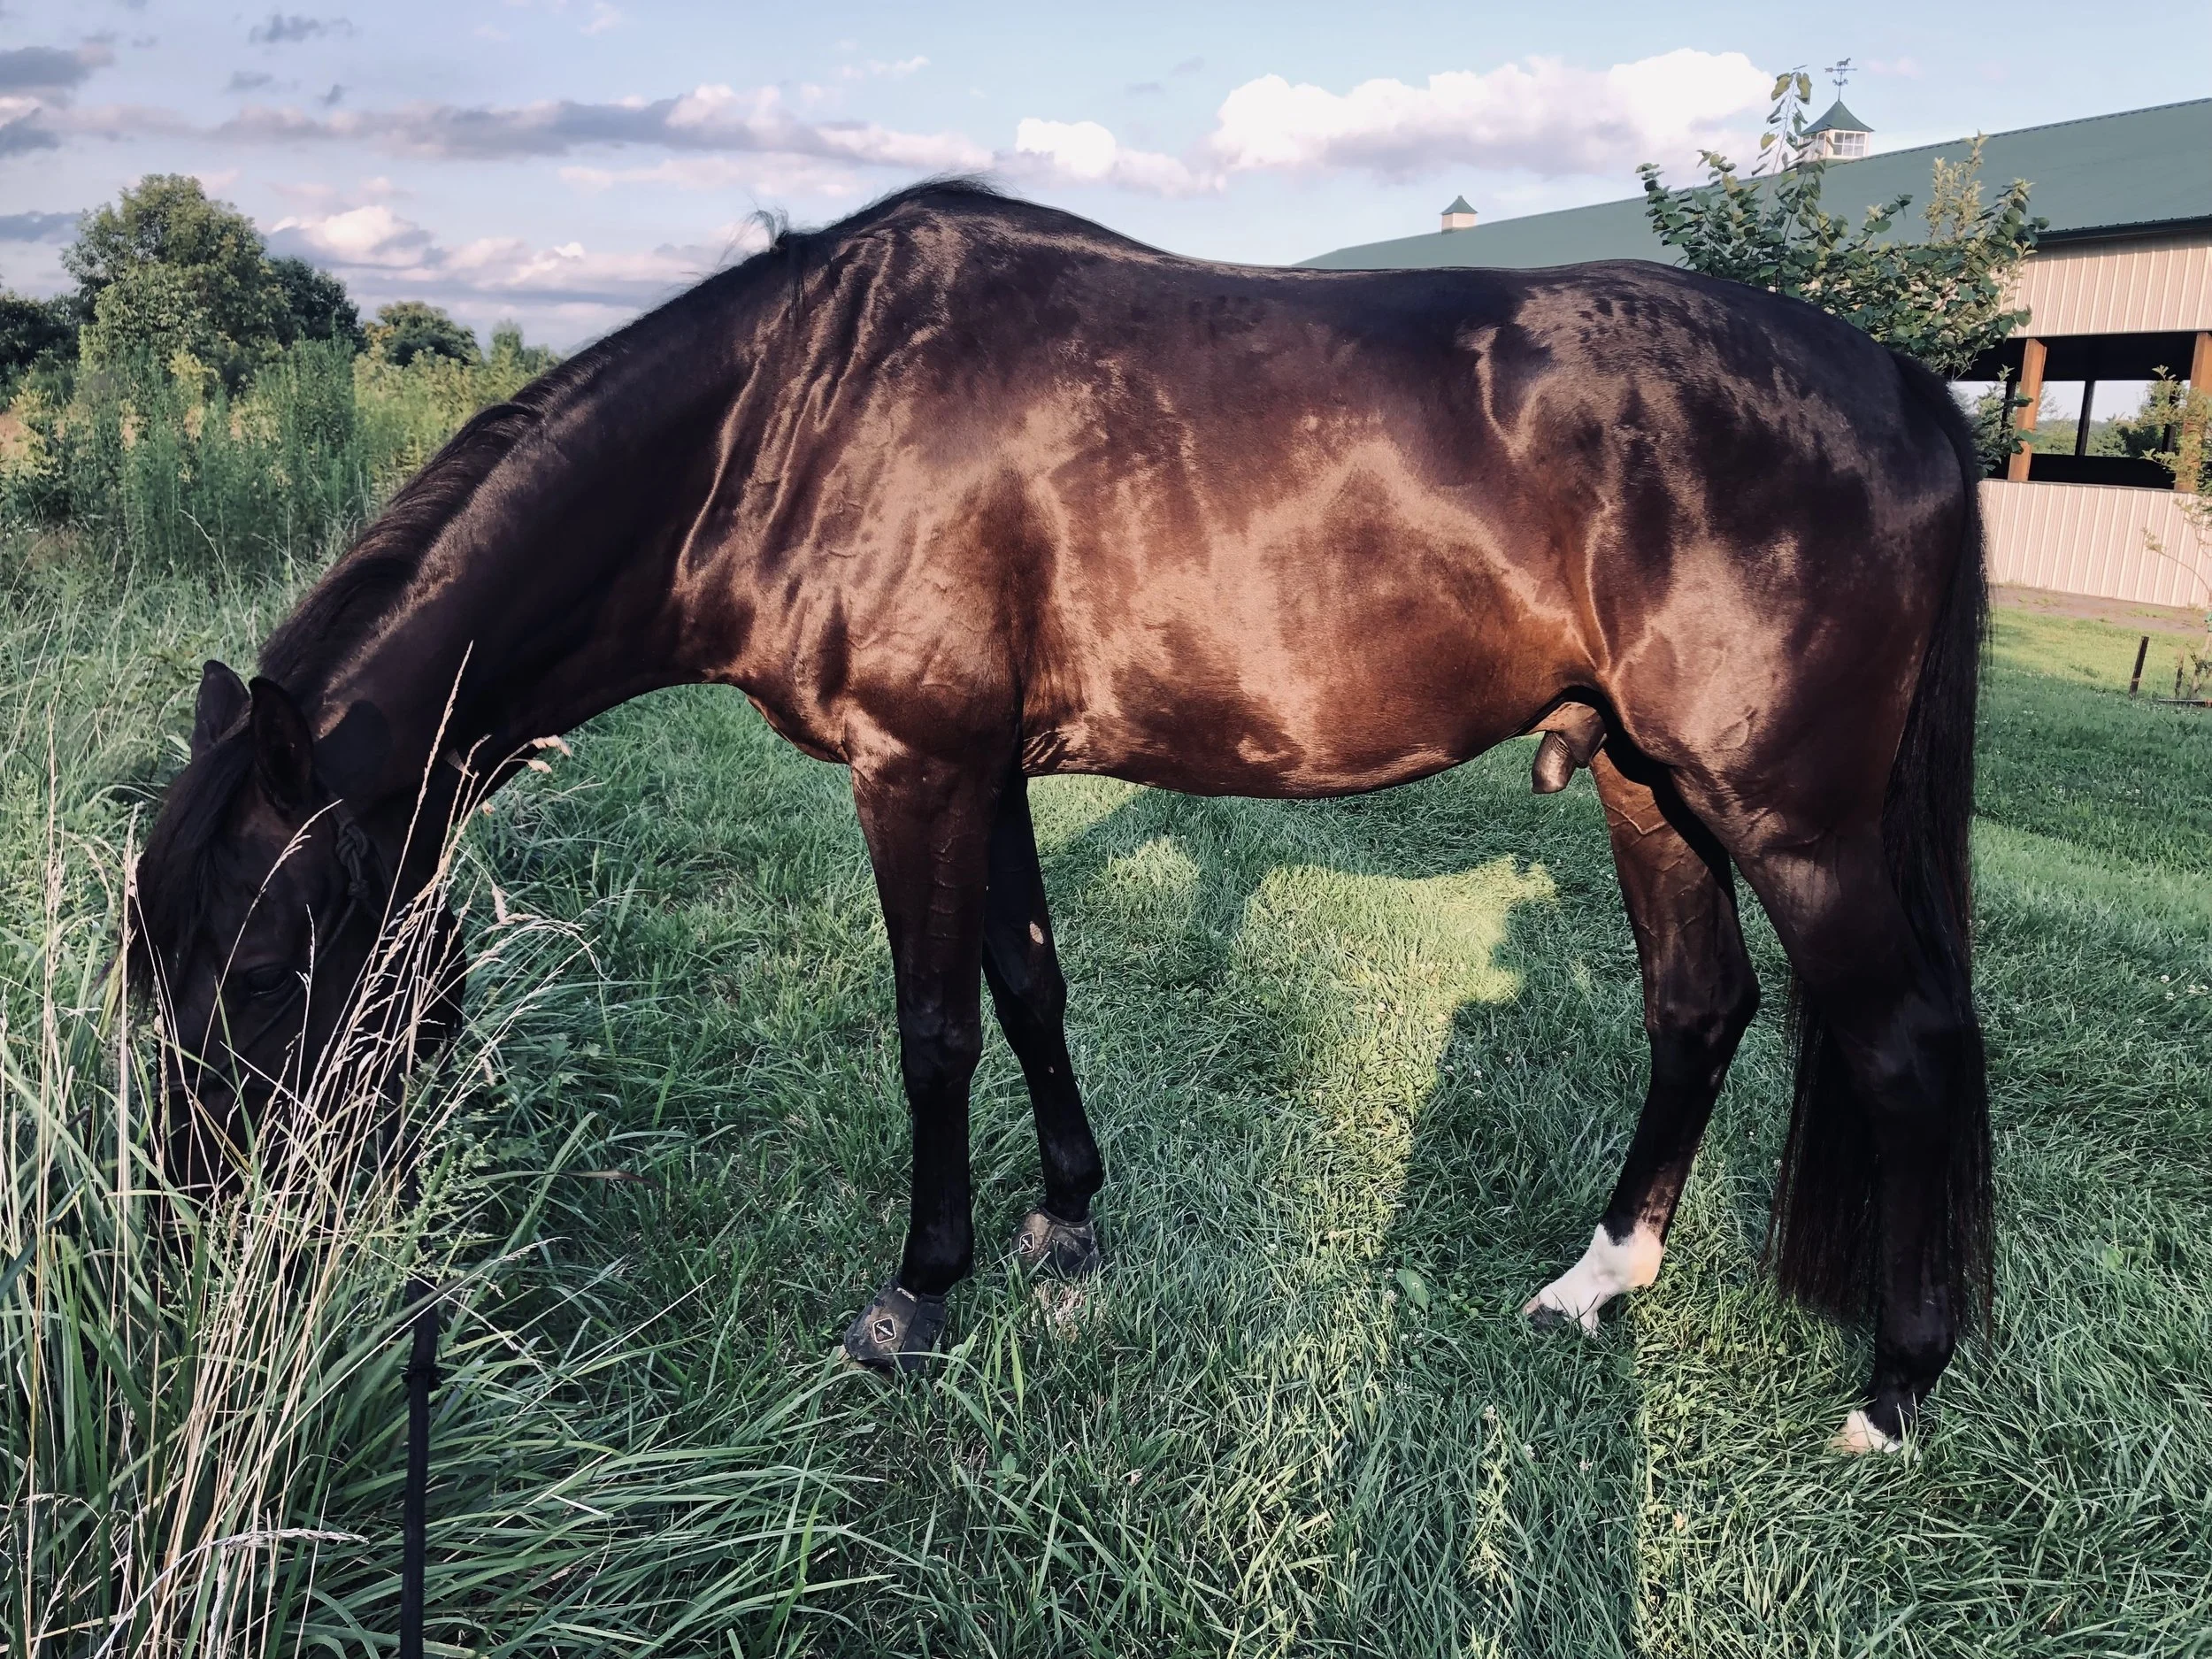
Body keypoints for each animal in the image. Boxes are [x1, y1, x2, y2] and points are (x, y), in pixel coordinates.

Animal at [131, 179, 1990, 1459]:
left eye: (265, 965)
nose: (194, 1228)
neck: (795, 417)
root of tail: (1899, 383)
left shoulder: (916, 767)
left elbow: (935, 1028)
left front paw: (918, 1293)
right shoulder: (988, 766)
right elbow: (1029, 985)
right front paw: (1067, 1220)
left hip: (1788, 816)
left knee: (1901, 1051)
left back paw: (1892, 1392)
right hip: (1644, 780)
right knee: (1701, 1010)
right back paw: (1598, 1284)